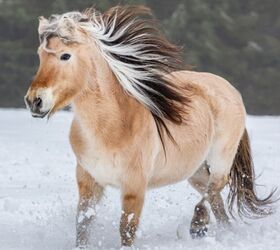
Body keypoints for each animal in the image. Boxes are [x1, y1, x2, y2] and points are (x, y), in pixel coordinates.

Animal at [23, 5, 276, 248]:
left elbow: (126, 229)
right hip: (194, 171)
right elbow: (83, 226)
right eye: (40, 55)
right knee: (216, 200)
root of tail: (229, 88)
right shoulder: (88, 183)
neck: (111, 127)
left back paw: (198, 225)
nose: (34, 101)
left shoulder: (134, 187)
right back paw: (221, 232)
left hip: (220, 159)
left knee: (216, 187)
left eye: (65, 56)